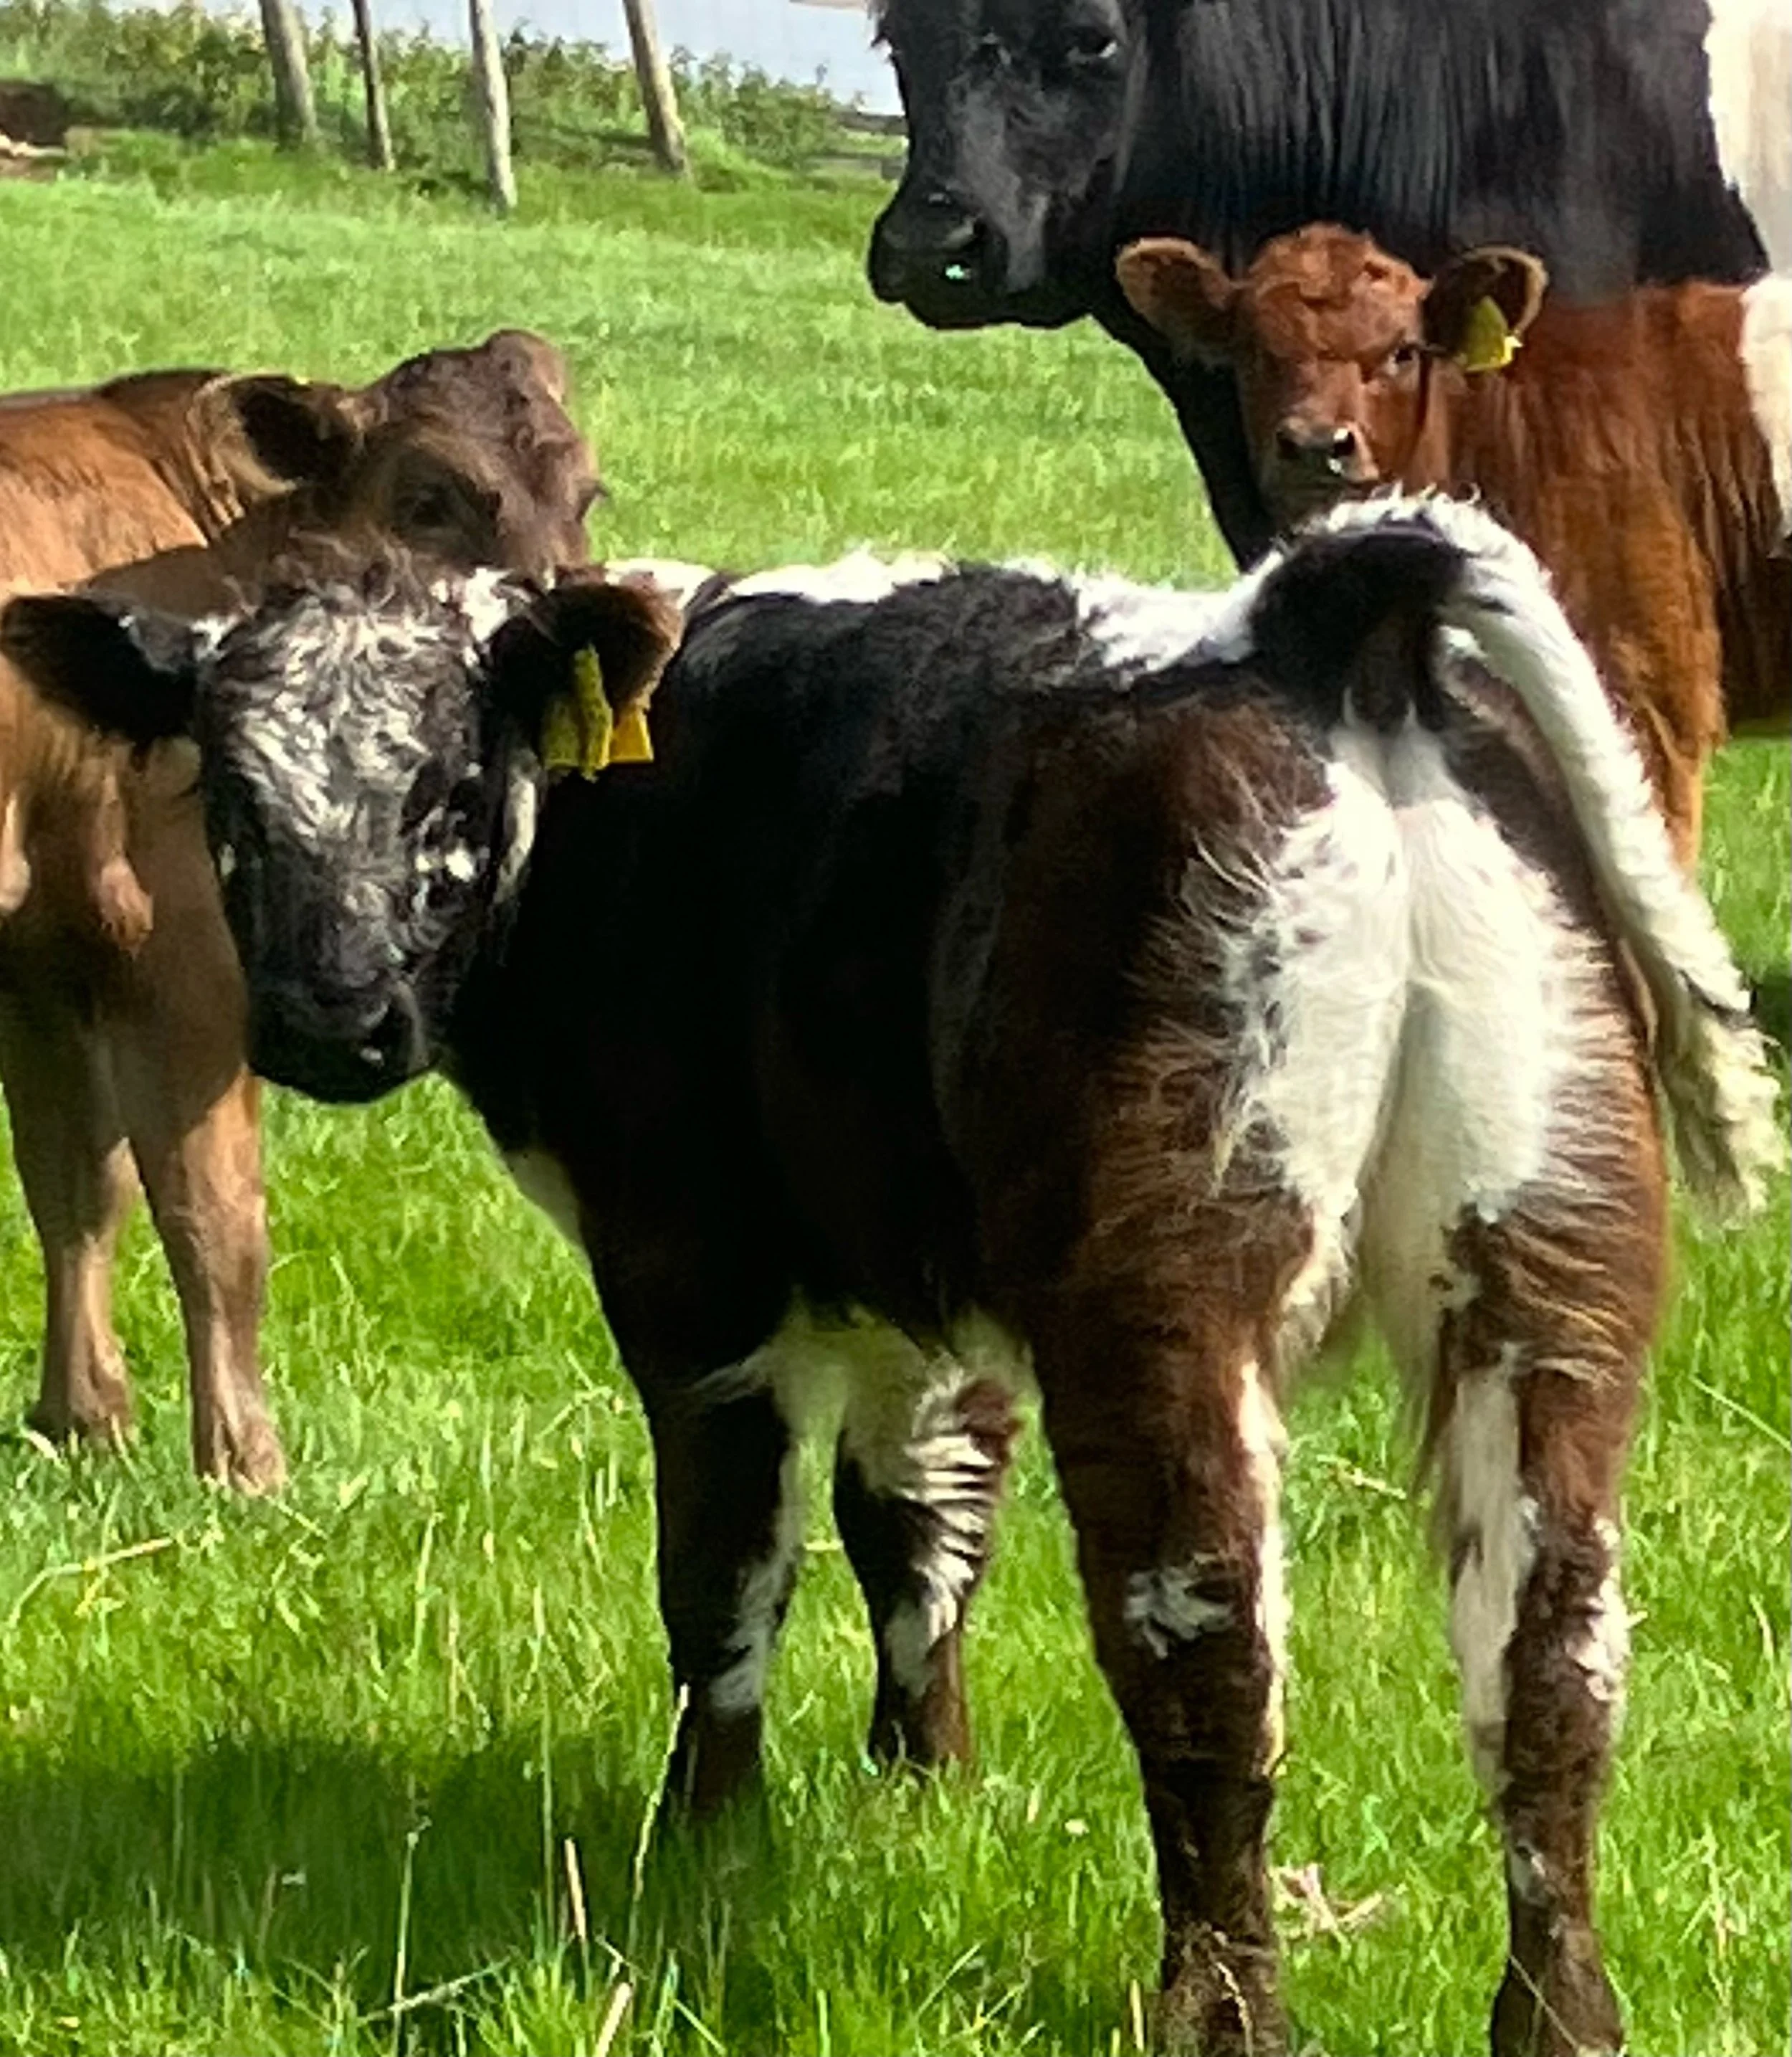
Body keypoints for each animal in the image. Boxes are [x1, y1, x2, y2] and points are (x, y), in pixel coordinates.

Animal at [0, 332, 603, 1490]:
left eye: (587, 493)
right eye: (429, 498)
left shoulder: (46, 954)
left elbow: (75, 1189)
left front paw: (83, 1424)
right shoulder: (181, 946)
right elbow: (212, 1217)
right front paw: (245, 1469)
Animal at [7, 498, 1779, 2056]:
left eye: (450, 783)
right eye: (231, 799)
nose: (332, 1022)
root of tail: (1304, 623)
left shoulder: (691, 1271)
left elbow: (728, 1564)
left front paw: (706, 1847)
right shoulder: (920, 1287)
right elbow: (919, 1526)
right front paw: (922, 1787)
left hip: (1165, 1303)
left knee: (1203, 1645)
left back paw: (1216, 2008)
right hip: (1543, 1269)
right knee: (1550, 1656)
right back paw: (1556, 2016)